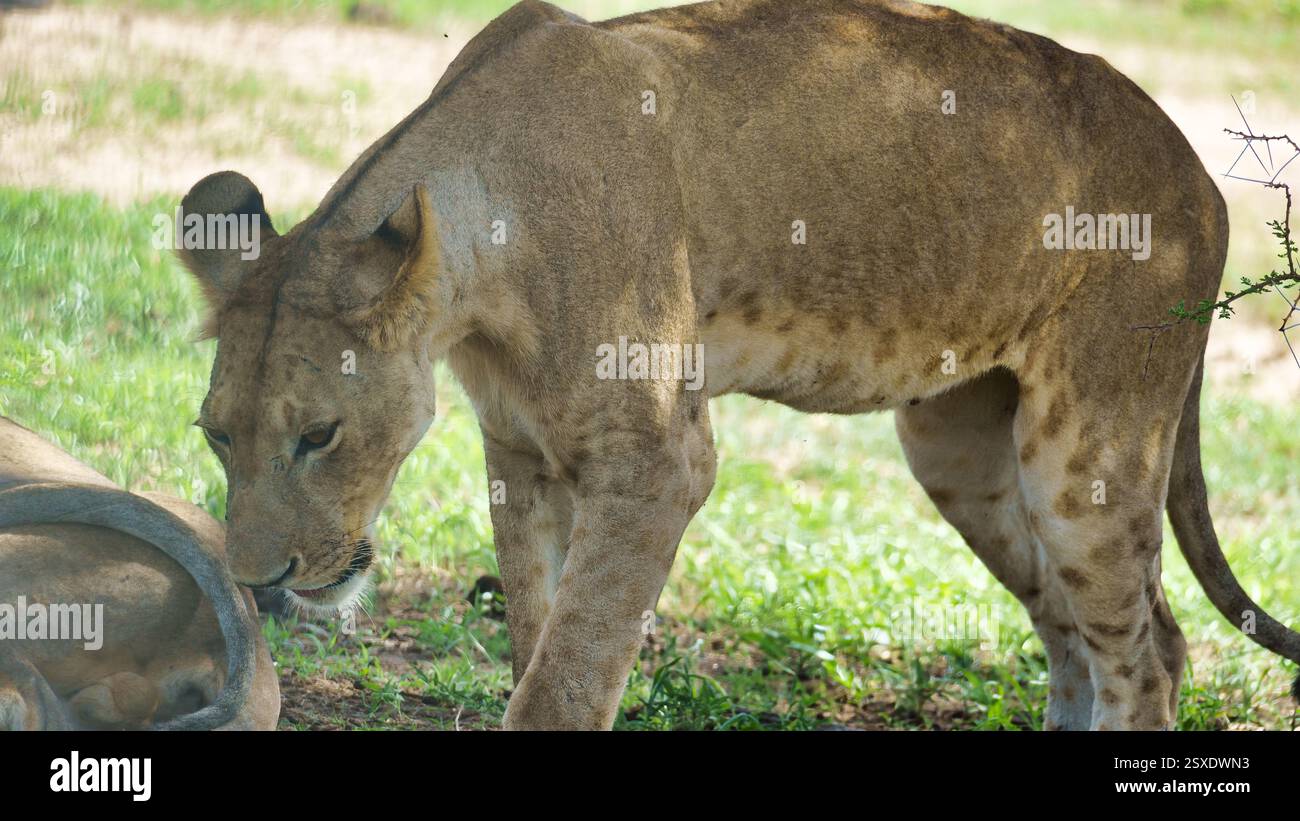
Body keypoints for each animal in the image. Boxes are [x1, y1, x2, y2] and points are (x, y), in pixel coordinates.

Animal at [176, 0, 1298, 729]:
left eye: (320, 433)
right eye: (215, 433)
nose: (260, 581)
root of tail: (1196, 166)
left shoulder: (658, 463)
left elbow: (565, 675)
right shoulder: (522, 455)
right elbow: (542, 630)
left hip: (1088, 449)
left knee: (1149, 653)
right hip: (961, 449)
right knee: (1075, 634)